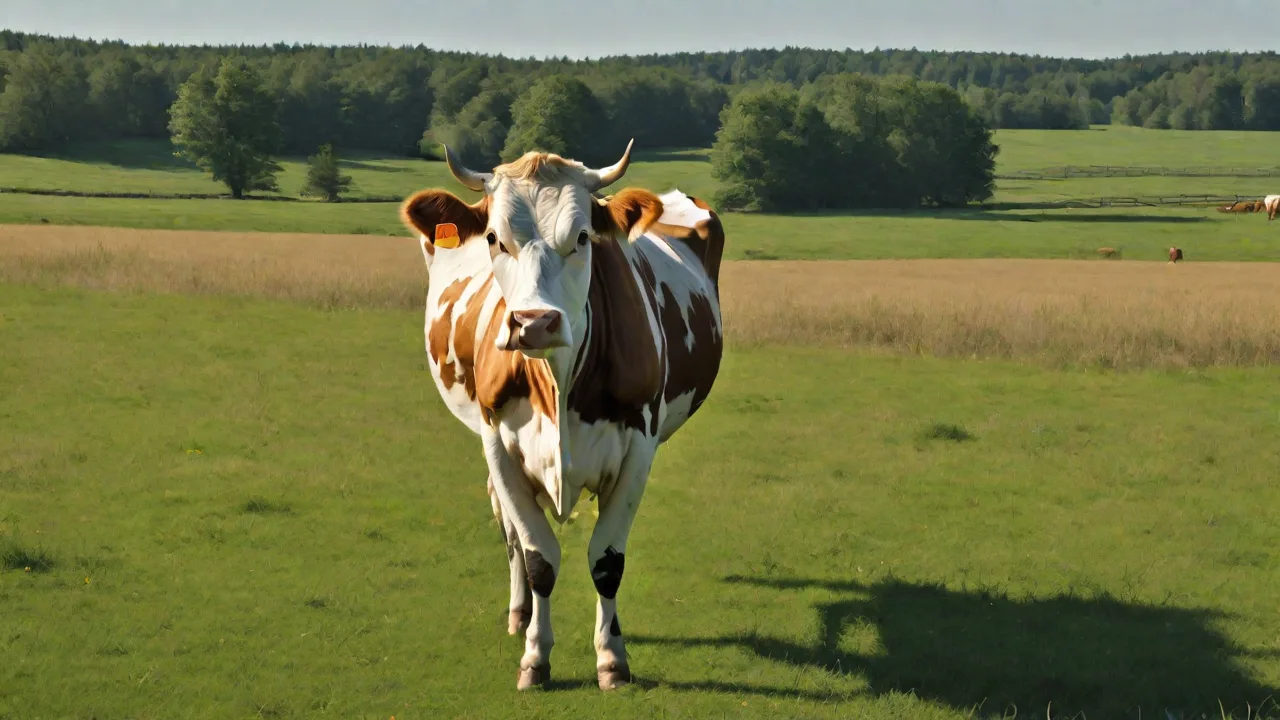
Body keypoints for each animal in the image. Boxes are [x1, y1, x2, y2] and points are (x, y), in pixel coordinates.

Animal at [399, 140, 725, 692]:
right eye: (494, 238)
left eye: (583, 236)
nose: (535, 322)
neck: (558, 380)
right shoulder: (498, 444)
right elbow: (538, 558)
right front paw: (535, 656)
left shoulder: (639, 449)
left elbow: (606, 560)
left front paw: (612, 659)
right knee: (508, 529)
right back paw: (519, 613)